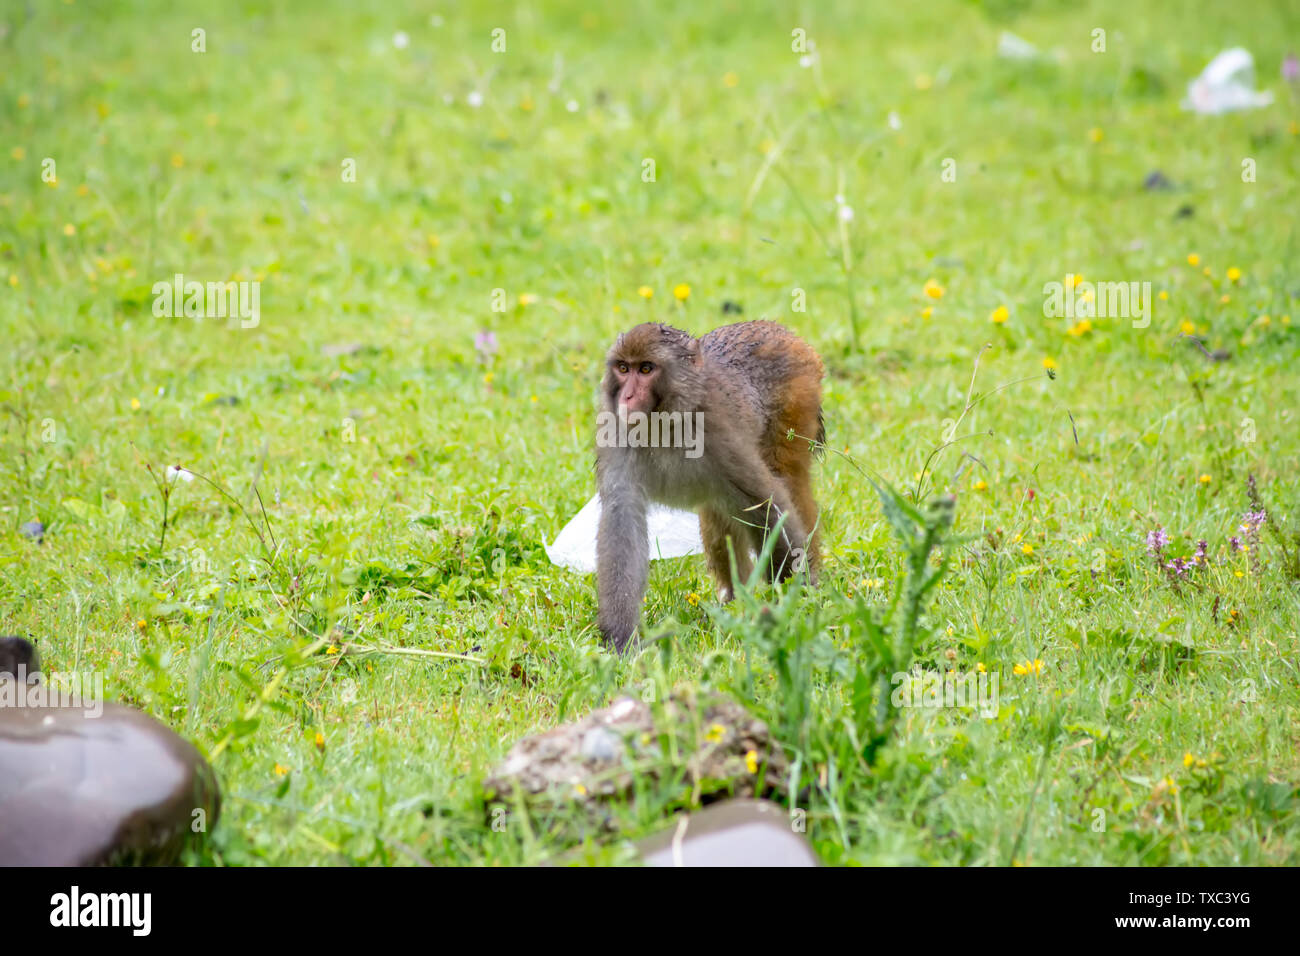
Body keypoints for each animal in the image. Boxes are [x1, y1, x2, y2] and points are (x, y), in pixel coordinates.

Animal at [595, 320, 824, 651]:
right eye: (623, 368)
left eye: (646, 369)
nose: (626, 397)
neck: (664, 422)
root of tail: (776, 328)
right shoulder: (617, 433)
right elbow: (622, 519)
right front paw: (621, 639)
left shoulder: (720, 432)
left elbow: (765, 504)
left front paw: (799, 600)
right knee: (718, 513)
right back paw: (733, 601)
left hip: (798, 395)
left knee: (786, 478)